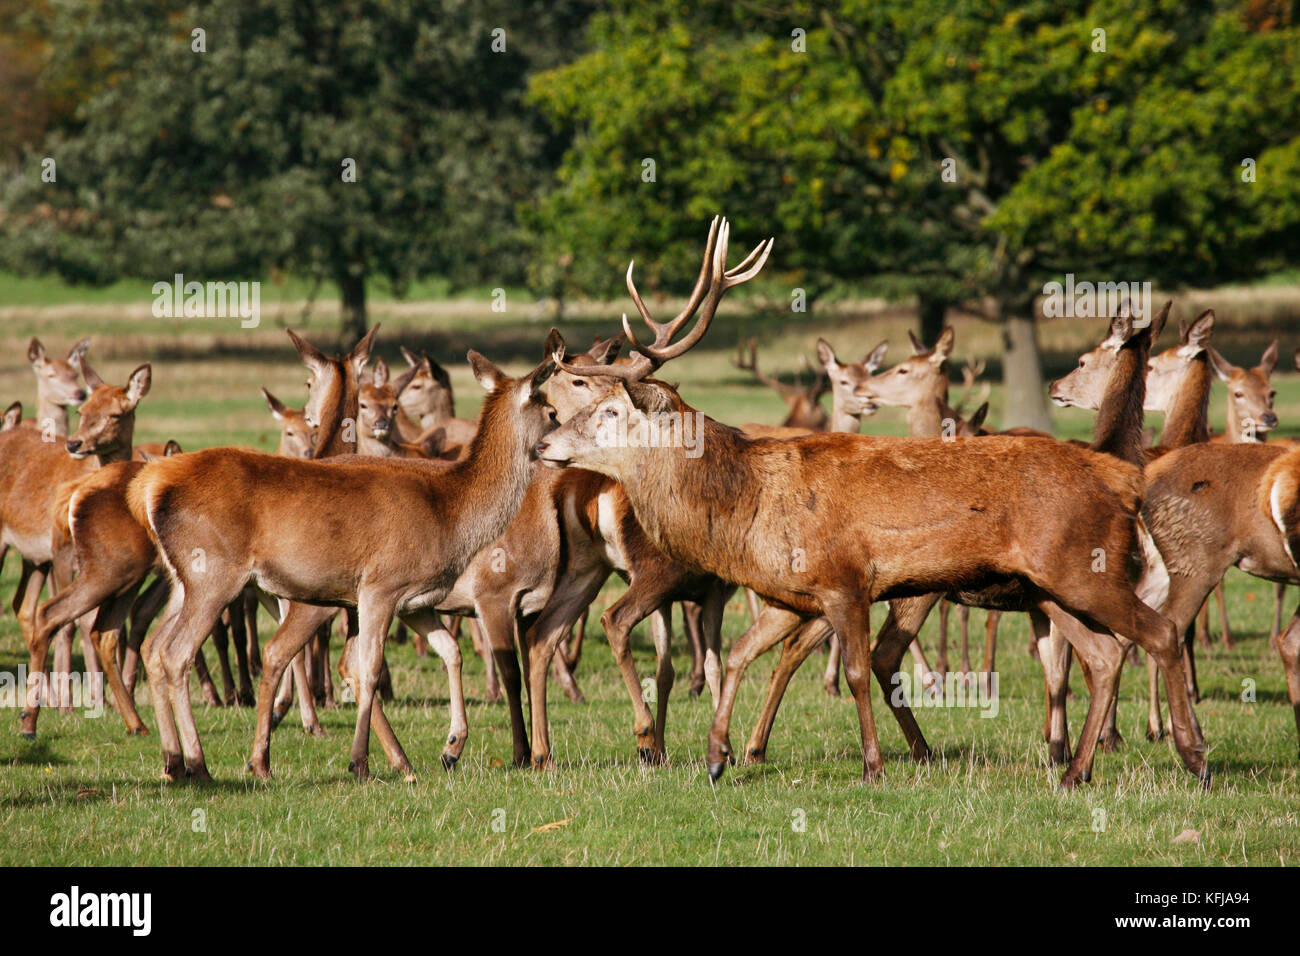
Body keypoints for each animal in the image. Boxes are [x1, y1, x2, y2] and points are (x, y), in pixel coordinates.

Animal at [129, 329, 564, 782]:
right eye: (551, 410)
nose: (563, 435)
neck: (449, 513)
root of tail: (148, 487)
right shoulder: (381, 585)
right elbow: (367, 668)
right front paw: (361, 761)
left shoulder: (416, 600)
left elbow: (450, 651)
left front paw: (450, 747)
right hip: (214, 573)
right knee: (177, 653)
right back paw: (201, 764)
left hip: (184, 579)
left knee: (155, 648)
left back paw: (175, 761)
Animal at [537, 216, 1206, 789]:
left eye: (611, 411)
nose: (543, 442)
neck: (747, 507)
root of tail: (1122, 474)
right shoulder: (787, 594)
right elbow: (741, 654)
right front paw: (717, 756)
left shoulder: (845, 580)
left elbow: (857, 671)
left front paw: (873, 764)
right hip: (1049, 587)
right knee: (1105, 655)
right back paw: (1076, 770)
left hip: (1085, 567)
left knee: (1160, 632)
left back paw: (1193, 757)